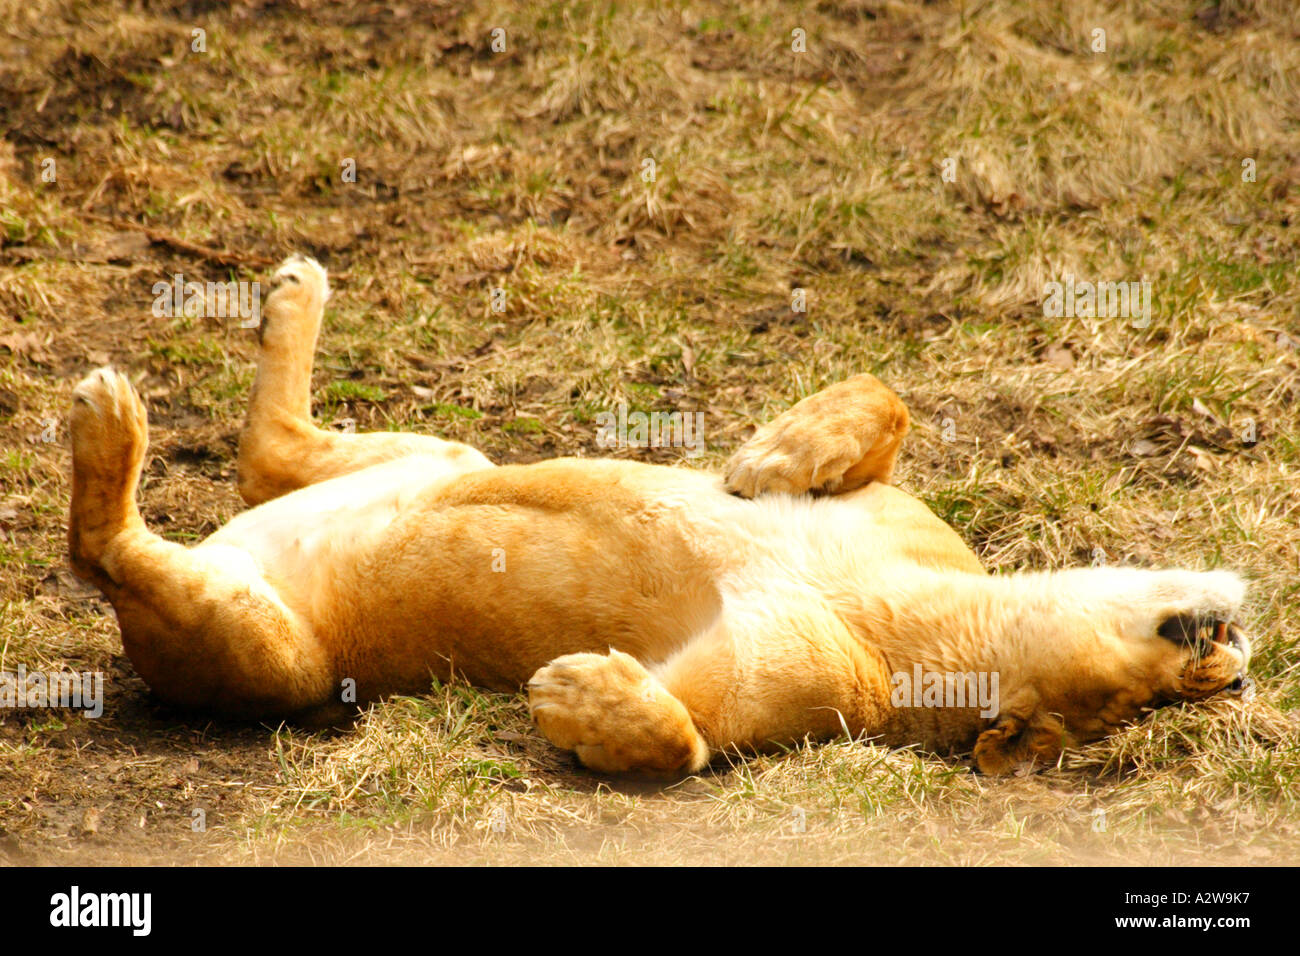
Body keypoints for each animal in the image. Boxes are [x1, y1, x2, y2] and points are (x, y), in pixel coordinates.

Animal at [66, 255, 1252, 776]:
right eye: (1179, 685)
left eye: (1142, 706)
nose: (1234, 663)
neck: (941, 611)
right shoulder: (903, 509)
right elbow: (884, 399)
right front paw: (768, 457)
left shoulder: (777, 690)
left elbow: (679, 737)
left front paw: (573, 696)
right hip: (449, 455)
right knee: (263, 456)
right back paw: (289, 295)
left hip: (279, 659)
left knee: (108, 552)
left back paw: (108, 419)